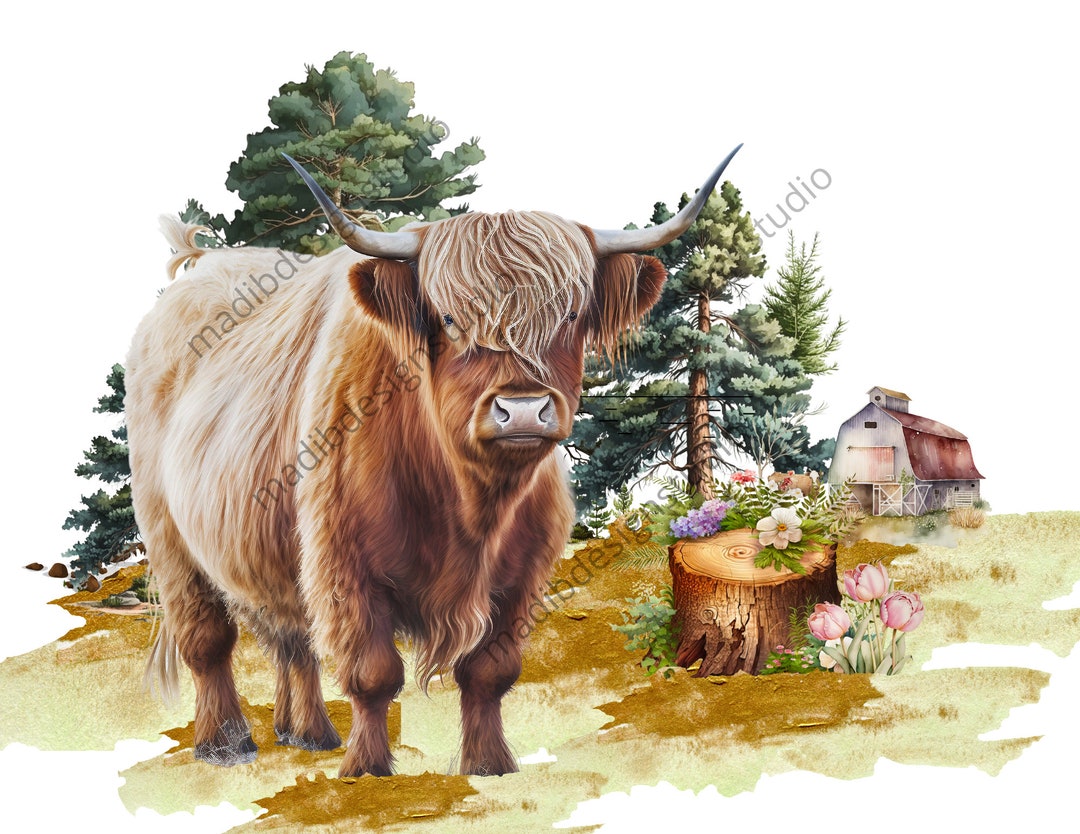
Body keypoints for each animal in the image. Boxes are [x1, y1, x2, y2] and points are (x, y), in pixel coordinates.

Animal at [126, 145, 741, 778]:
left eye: (571, 315)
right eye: (448, 319)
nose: (522, 410)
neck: (469, 505)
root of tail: (201, 268)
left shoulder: (522, 574)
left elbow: (490, 672)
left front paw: (489, 764)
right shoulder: (343, 564)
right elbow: (373, 674)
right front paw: (367, 770)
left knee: (292, 641)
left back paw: (308, 733)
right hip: (171, 541)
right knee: (208, 640)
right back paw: (226, 743)